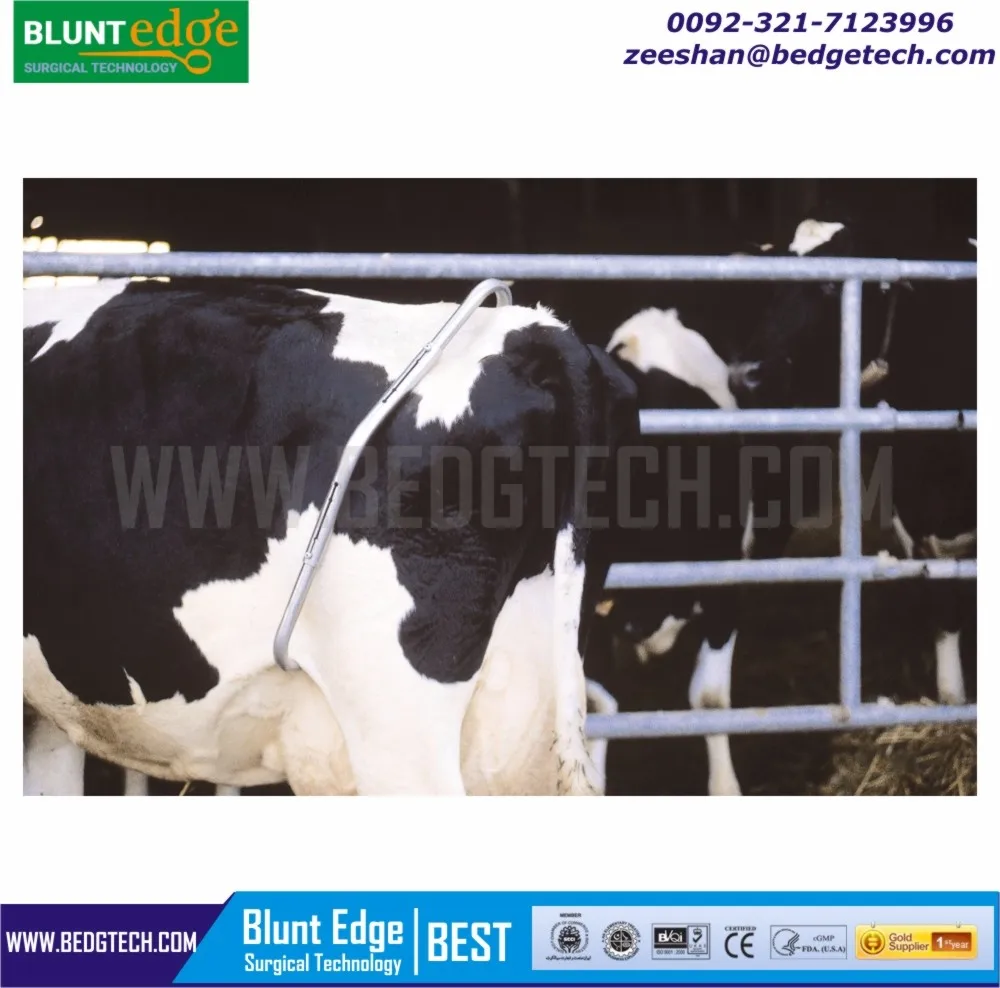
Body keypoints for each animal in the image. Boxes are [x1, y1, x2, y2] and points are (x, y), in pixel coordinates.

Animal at [727, 211, 976, 708]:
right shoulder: (915, 509)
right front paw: (951, 694)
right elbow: (942, 605)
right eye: (771, 284)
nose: (746, 375)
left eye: (829, 286)